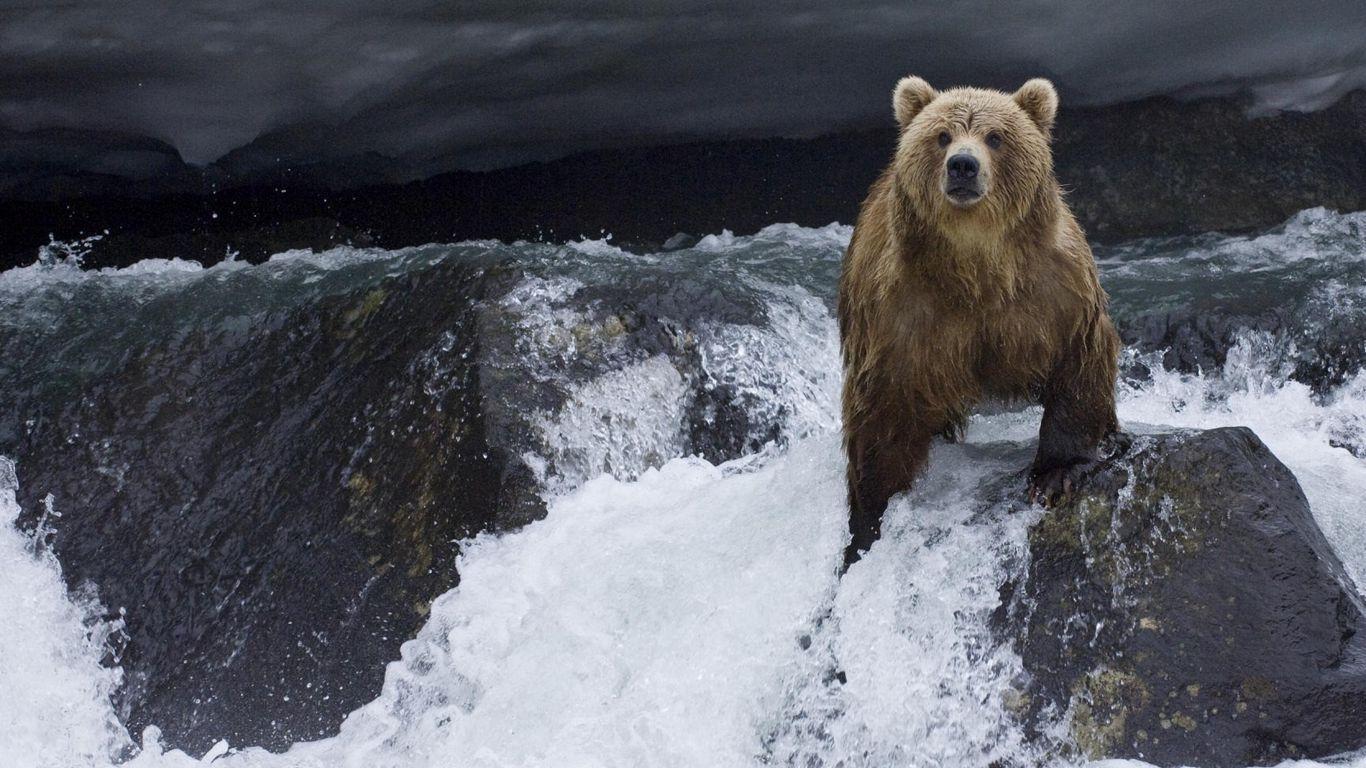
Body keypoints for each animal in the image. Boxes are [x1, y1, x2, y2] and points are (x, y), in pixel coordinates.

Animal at [837, 76, 1120, 569]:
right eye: (942, 135)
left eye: (995, 137)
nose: (963, 166)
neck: (976, 266)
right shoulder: (899, 313)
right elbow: (881, 411)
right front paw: (868, 518)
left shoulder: (1054, 290)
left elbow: (1078, 363)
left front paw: (1056, 474)